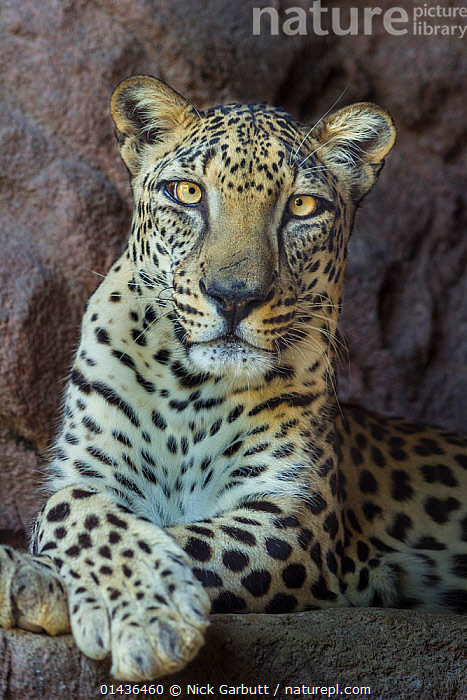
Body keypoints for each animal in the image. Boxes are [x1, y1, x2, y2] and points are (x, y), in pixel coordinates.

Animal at [0, 75, 465, 682]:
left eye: (302, 206)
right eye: (187, 193)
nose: (235, 297)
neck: (186, 389)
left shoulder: (293, 521)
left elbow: (169, 535)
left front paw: (139, 608)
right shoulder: (93, 471)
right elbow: (71, 505)